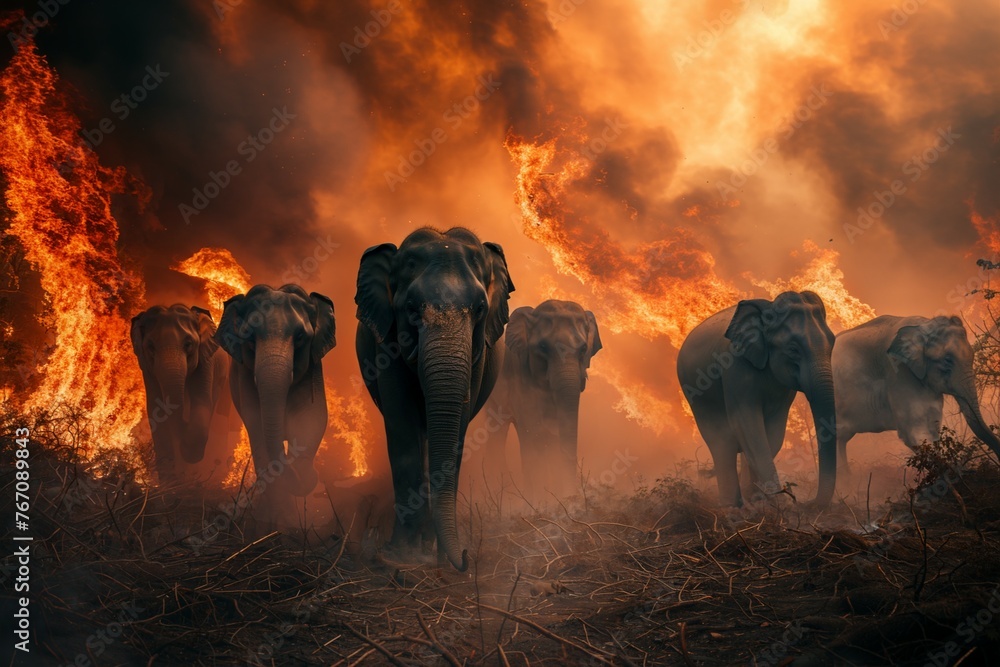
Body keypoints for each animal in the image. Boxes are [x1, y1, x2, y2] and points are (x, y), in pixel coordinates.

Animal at [130, 304, 234, 484]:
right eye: (151, 346)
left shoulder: (206, 362)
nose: (185, 423)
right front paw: (169, 482)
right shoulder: (148, 371)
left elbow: (202, 402)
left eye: (188, 344)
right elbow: (156, 412)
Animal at [215, 284, 336, 520]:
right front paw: (283, 520)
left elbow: (312, 420)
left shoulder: (313, 370)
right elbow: (257, 427)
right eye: (250, 338)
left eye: (300, 336)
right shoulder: (244, 375)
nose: (318, 474)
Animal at [355, 227, 514, 571]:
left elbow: (459, 427)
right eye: (412, 309)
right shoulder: (386, 341)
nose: (465, 557)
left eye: (480, 309)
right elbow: (402, 425)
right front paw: (400, 558)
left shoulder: (479, 354)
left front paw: (433, 556)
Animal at [481, 300, 602, 499]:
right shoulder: (521, 375)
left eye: (584, 349)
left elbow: (553, 431)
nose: (572, 496)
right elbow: (533, 431)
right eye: (543, 347)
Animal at [677, 291, 838, 508]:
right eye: (793, 349)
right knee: (721, 443)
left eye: (832, 344)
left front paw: (760, 499)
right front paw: (775, 502)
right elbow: (747, 423)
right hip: (695, 394)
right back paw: (731, 506)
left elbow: (773, 433)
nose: (799, 500)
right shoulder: (734, 365)